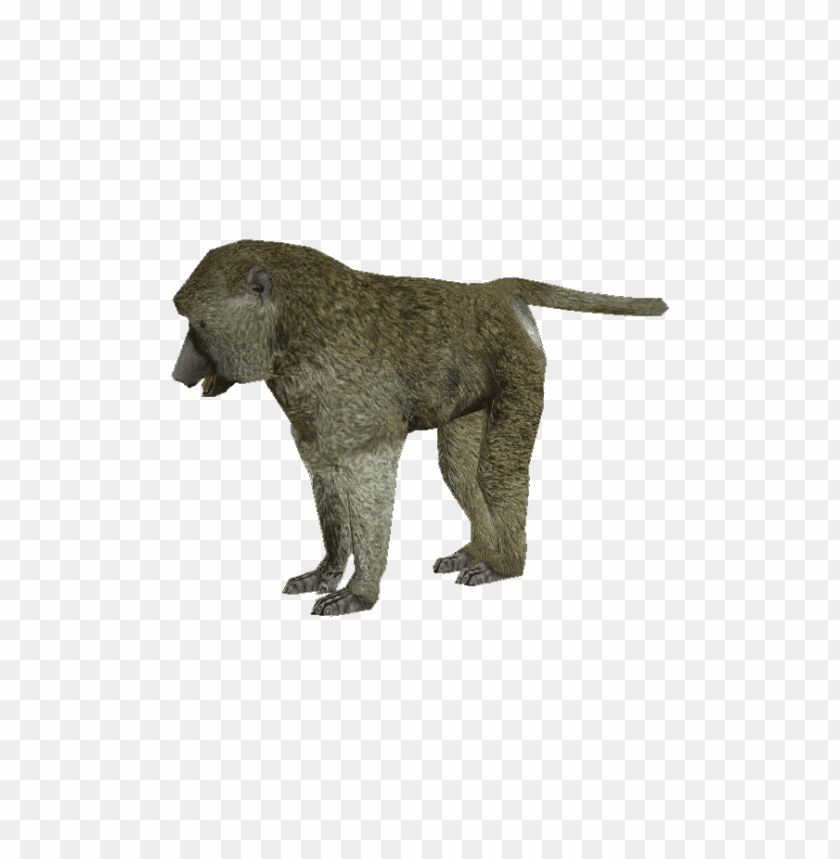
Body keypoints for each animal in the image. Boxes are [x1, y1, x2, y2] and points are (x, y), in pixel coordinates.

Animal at [171, 240, 668, 616]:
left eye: (197, 324)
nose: (178, 372)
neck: (293, 326)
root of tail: (491, 292)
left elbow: (367, 477)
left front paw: (359, 593)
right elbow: (326, 476)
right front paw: (325, 572)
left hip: (518, 365)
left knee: (493, 472)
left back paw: (503, 566)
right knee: (461, 470)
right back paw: (477, 551)